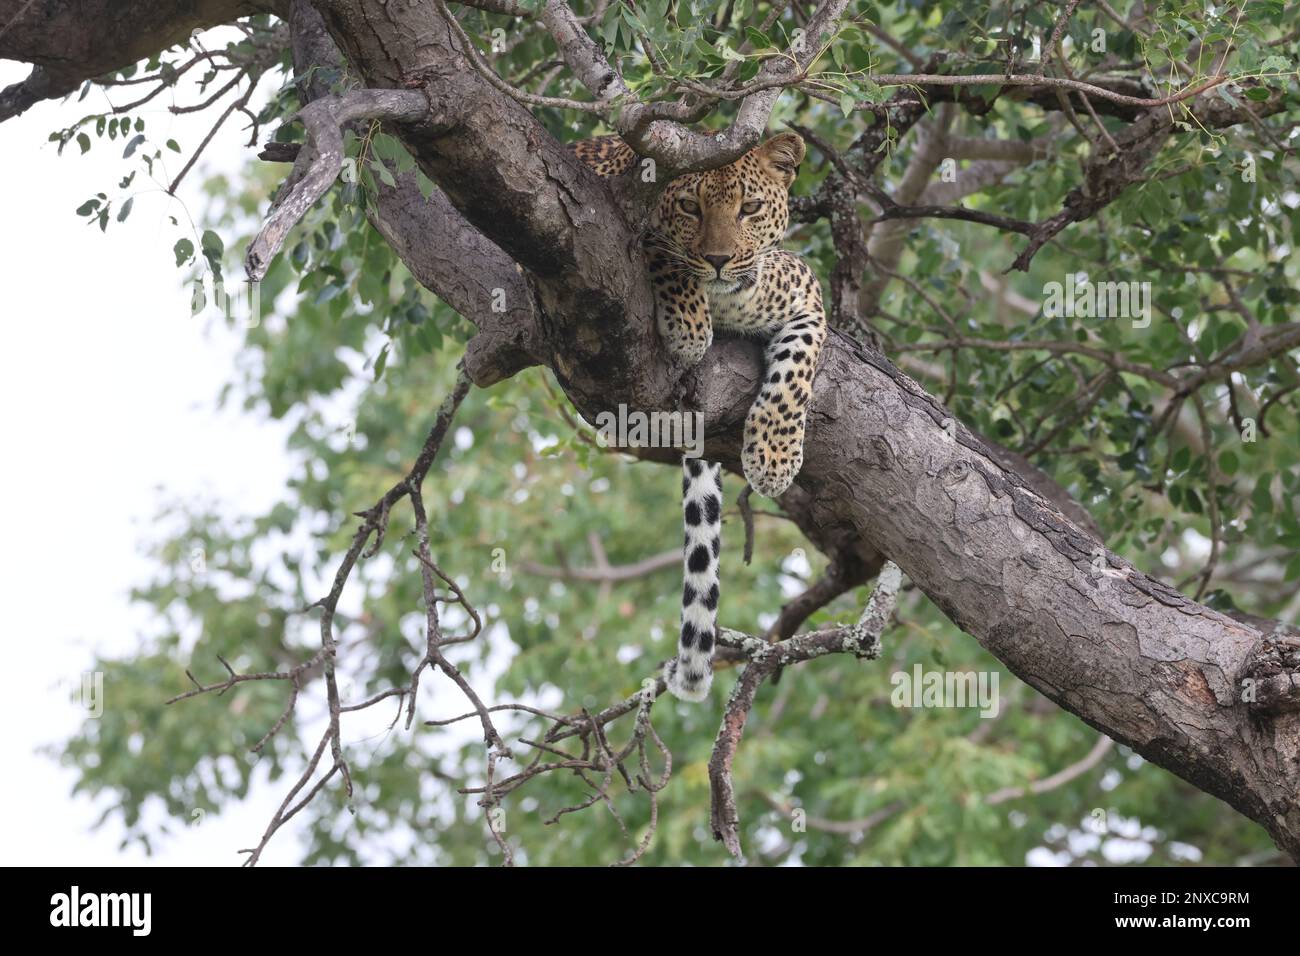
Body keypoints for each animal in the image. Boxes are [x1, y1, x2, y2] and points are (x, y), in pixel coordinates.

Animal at [571, 132, 827, 702]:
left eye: (749, 208)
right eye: (690, 207)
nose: (717, 259)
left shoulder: (805, 292)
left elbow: (797, 367)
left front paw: (773, 458)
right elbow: (661, 251)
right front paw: (689, 327)